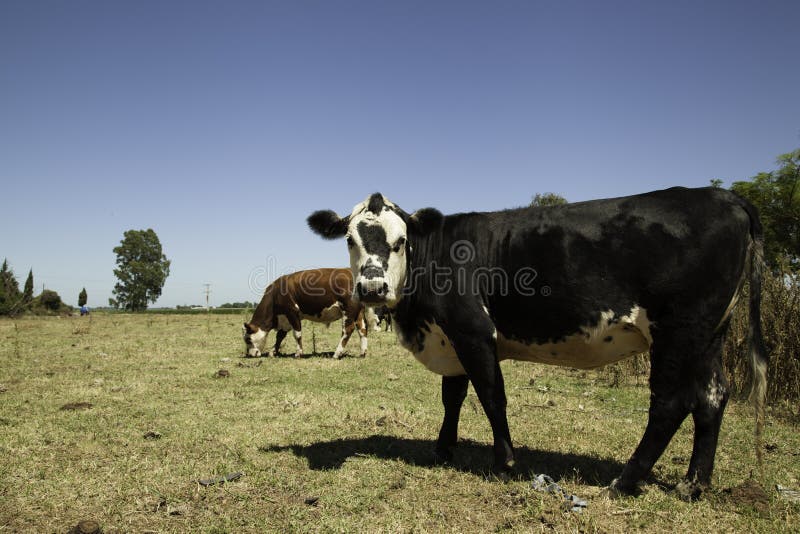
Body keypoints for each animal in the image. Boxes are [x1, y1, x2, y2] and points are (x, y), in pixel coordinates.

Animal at [307, 188, 768, 500]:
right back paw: (694, 484)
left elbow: (491, 396)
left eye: (400, 241)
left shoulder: (473, 331)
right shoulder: (450, 337)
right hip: (710, 335)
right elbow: (452, 396)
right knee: (712, 397)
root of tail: (722, 196)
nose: (371, 287)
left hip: (677, 332)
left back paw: (624, 481)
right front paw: (443, 448)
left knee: (671, 404)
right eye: (350, 240)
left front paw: (504, 461)